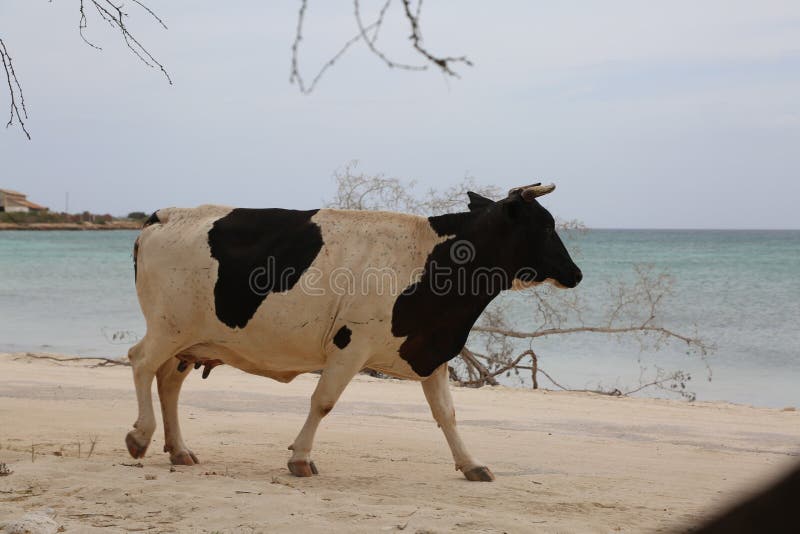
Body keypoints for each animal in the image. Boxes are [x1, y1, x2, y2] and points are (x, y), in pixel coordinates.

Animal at [125, 183, 582, 481]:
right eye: (545, 226)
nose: (576, 273)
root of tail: (165, 214)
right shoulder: (352, 343)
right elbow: (323, 401)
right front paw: (300, 458)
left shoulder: (429, 347)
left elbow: (446, 413)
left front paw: (472, 464)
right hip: (169, 326)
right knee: (141, 362)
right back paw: (141, 436)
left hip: (191, 339)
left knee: (168, 381)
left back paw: (180, 450)